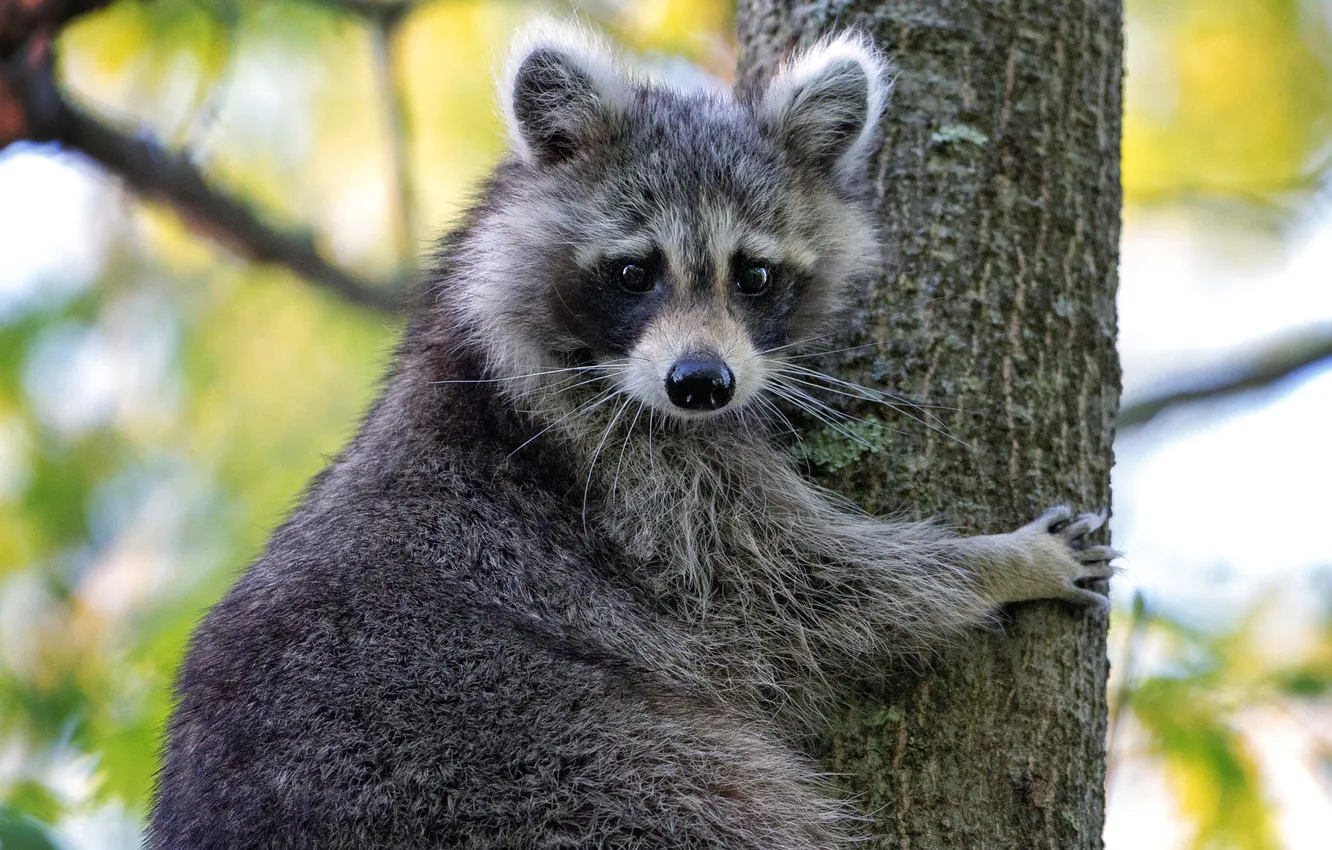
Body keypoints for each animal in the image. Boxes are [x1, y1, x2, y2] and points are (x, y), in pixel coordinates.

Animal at [148, 23, 1116, 849]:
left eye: (753, 275)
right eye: (632, 272)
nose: (701, 383)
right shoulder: (630, 472)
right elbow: (798, 591)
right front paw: (999, 564)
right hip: (517, 759)